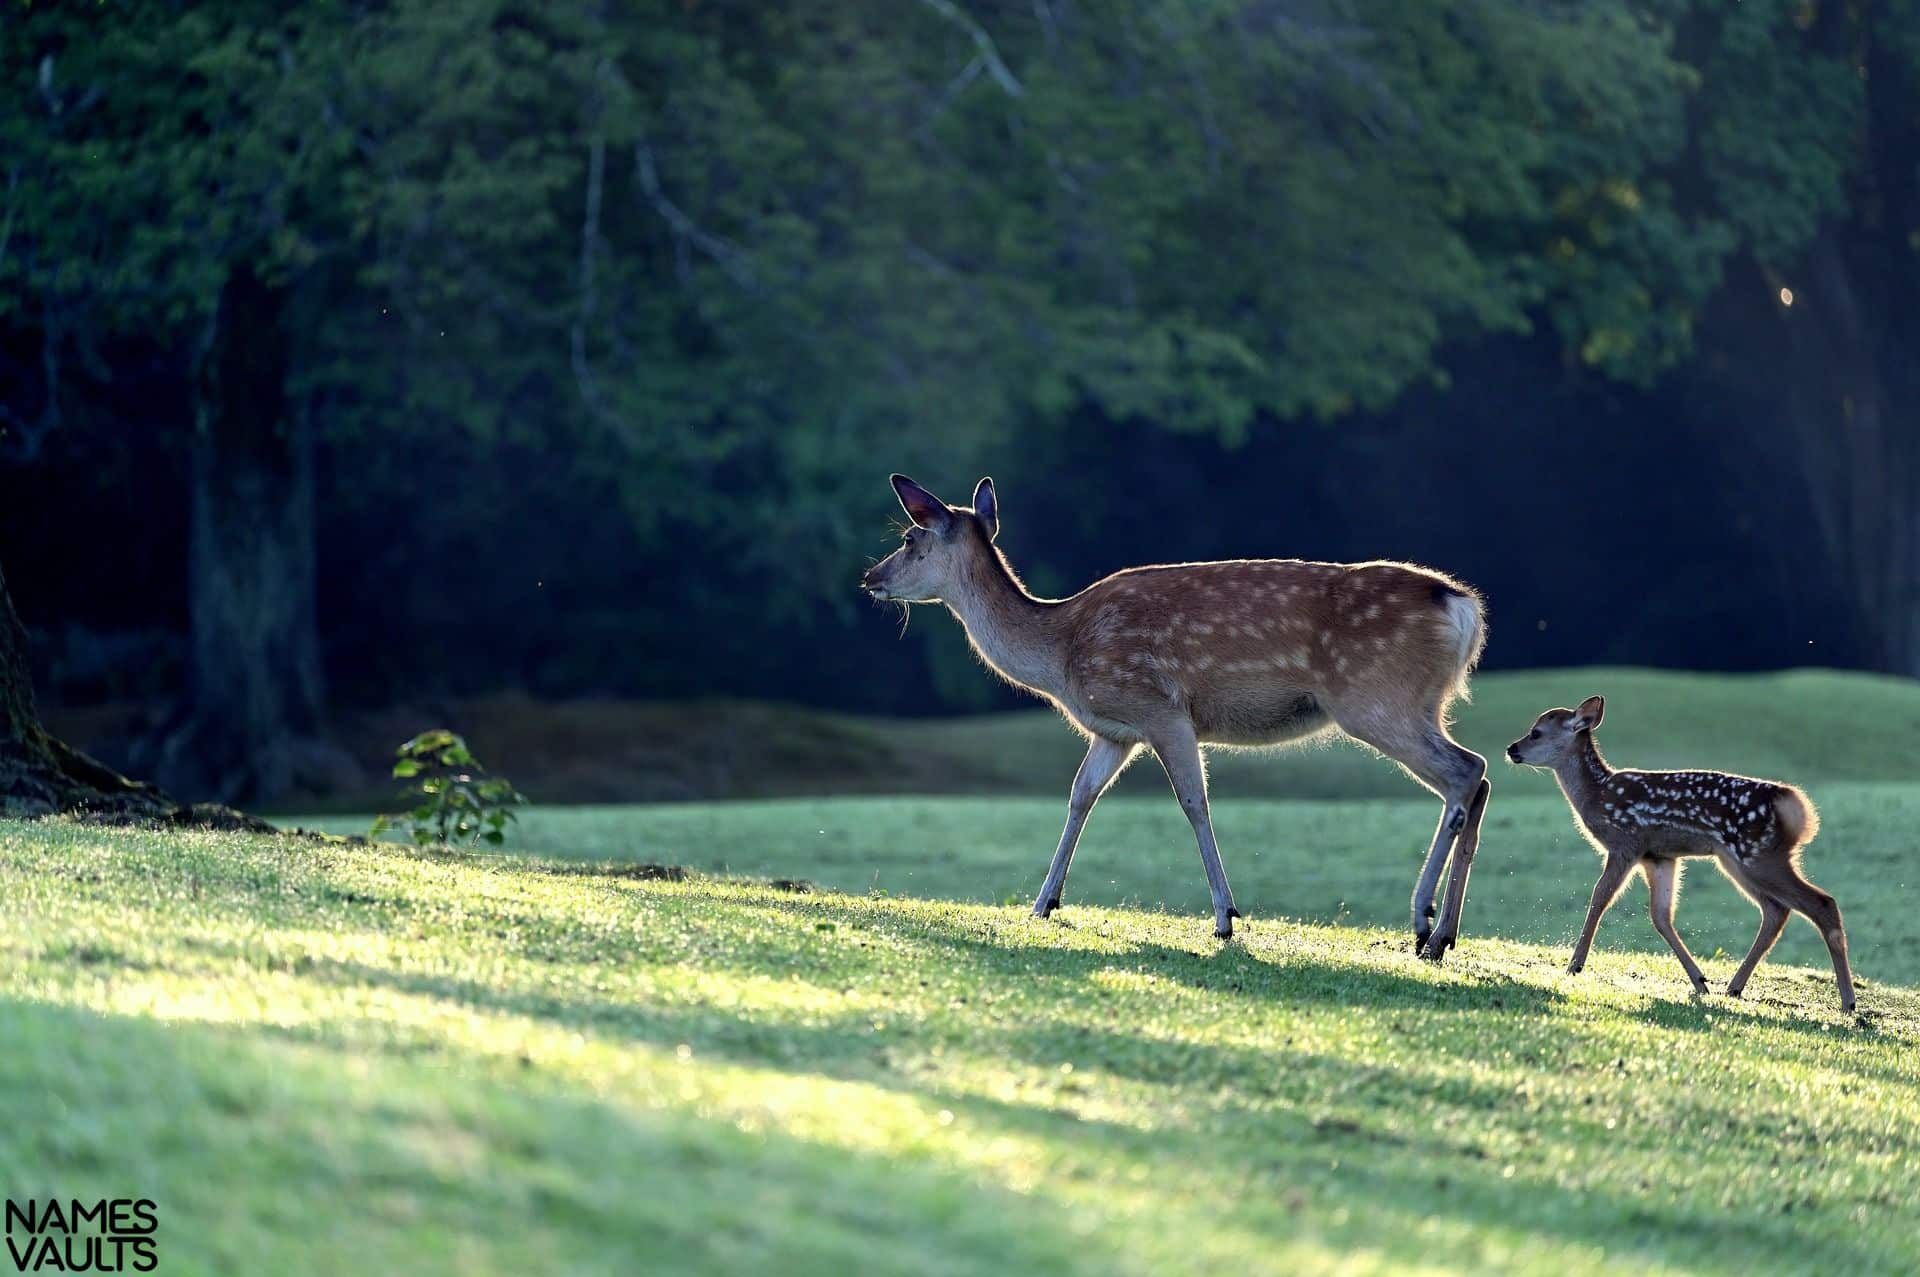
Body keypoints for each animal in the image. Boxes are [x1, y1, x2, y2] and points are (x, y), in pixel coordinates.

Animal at [861, 474, 1491, 951]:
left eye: (912, 539)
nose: (870, 577)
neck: (1063, 653)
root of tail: (1462, 608)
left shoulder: (1160, 710)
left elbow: (1193, 802)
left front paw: (1226, 918)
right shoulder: (1115, 731)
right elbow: (1080, 795)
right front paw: (1043, 903)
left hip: (1375, 698)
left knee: (1466, 771)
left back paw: (1423, 921)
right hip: (1416, 704)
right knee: (1478, 775)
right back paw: (1445, 935)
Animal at [1507, 696, 1855, 1011]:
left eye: (1536, 732)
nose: (1511, 749)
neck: (1597, 795)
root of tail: (1796, 806)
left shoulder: (1626, 842)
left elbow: (1600, 896)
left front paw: (1574, 965)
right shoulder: (1659, 857)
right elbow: (1661, 916)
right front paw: (1700, 981)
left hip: (1759, 854)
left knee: (1822, 903)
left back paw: (1848, 1002)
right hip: (1738, 860)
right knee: (1776, 910)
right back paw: (1733, 987)